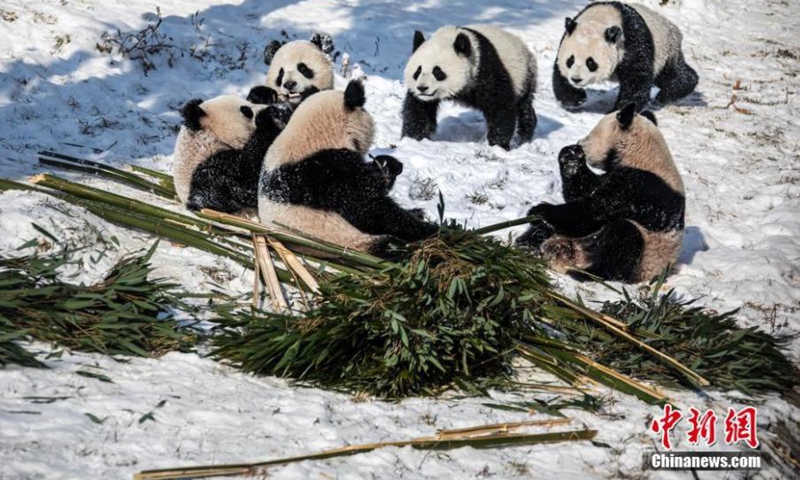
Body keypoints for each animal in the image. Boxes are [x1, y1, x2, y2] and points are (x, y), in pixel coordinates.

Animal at [259, 80, 439, 256]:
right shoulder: (329, 171)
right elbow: (368, 208)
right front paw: (430, 229)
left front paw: (390, 164)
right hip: (350, 239)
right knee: (392, 246)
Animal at [401, 25, 537, 150]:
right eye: (418, 71)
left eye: (437, 72)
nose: (422, 88)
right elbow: (419, 110)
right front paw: (413, 139)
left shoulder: (485, 68)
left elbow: (500, 105)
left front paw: (498, 144)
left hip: (524, 76)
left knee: (524, 107)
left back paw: (522, 136)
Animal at [516, 103, 684, 283]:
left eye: (590, 135)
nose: (579, 143)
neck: (641, 153)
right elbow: (584, 192)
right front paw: (571, 159)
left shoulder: (640, 186)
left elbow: (595, 209)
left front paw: (540, 211)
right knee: (548, 231)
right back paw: (526, 244)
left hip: (646, 258)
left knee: (623, 239)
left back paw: (588, 274)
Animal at [553, 2, 698, 112]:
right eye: (570, 60)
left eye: (590, 63)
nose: (576, 79)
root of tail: (674, 28)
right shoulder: (566, 39)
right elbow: (559, 73)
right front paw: (575, 98)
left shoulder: (632, 41)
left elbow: (636, 78)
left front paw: (619, 110)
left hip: (666, 51)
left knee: (672, 74)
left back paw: (667, 94)